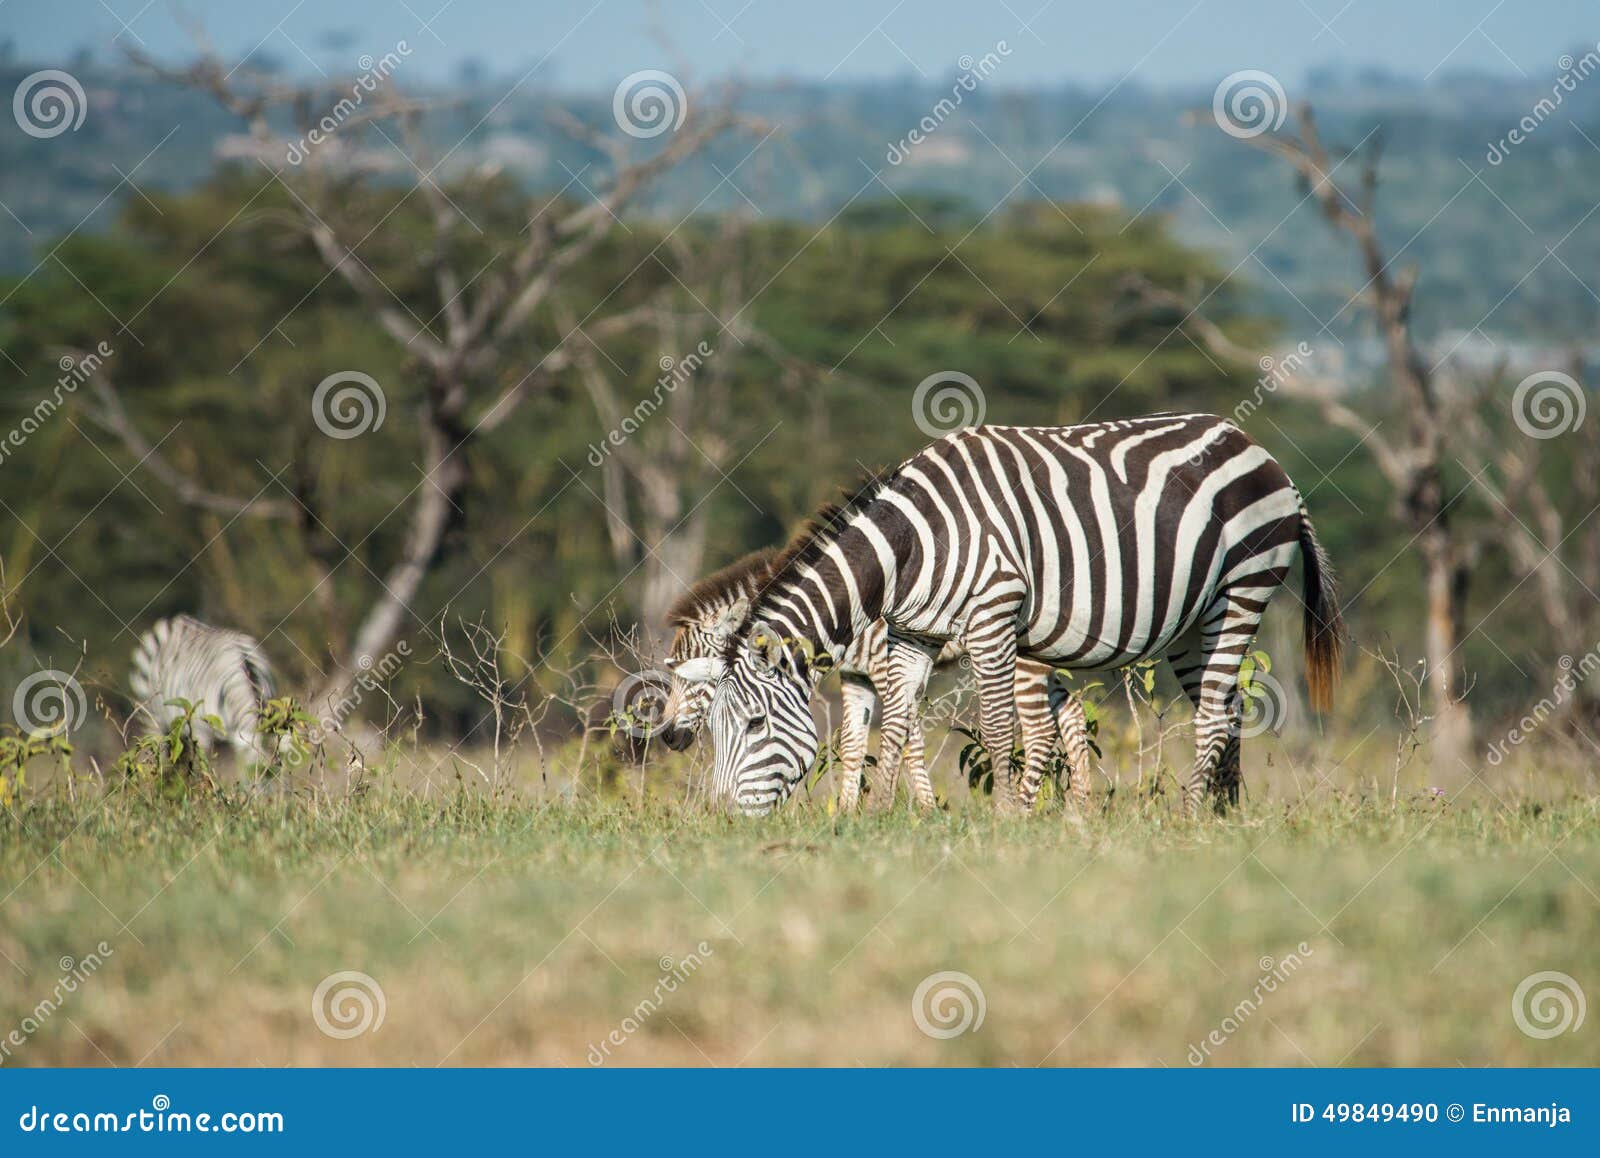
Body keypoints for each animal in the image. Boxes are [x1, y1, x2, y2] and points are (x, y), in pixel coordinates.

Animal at [658, 543, 1096, 810]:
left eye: (693, 671)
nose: (667, 737)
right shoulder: (858, 676)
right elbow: (853, 746)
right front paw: (846, 815)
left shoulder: (888, 671)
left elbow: (909, 742)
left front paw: (925, 812)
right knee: (1072, 713)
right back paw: (1081, 813)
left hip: (1021, 656)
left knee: (1042, 725)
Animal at [707, 414, 1344, 817]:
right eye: (712, 729)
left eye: (755, 725)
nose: (720, 820)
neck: (912, 545)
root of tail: (1258, 448)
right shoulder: (913, 635)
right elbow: (895, 726)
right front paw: (880, 817)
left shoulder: (992, 614)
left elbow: (996, 727)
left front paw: (1007, 820)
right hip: (1196, 620)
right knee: (1228, 709)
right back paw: (1222, 815)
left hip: (1243, 587)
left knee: (1212, 715)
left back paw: (1190, 818)